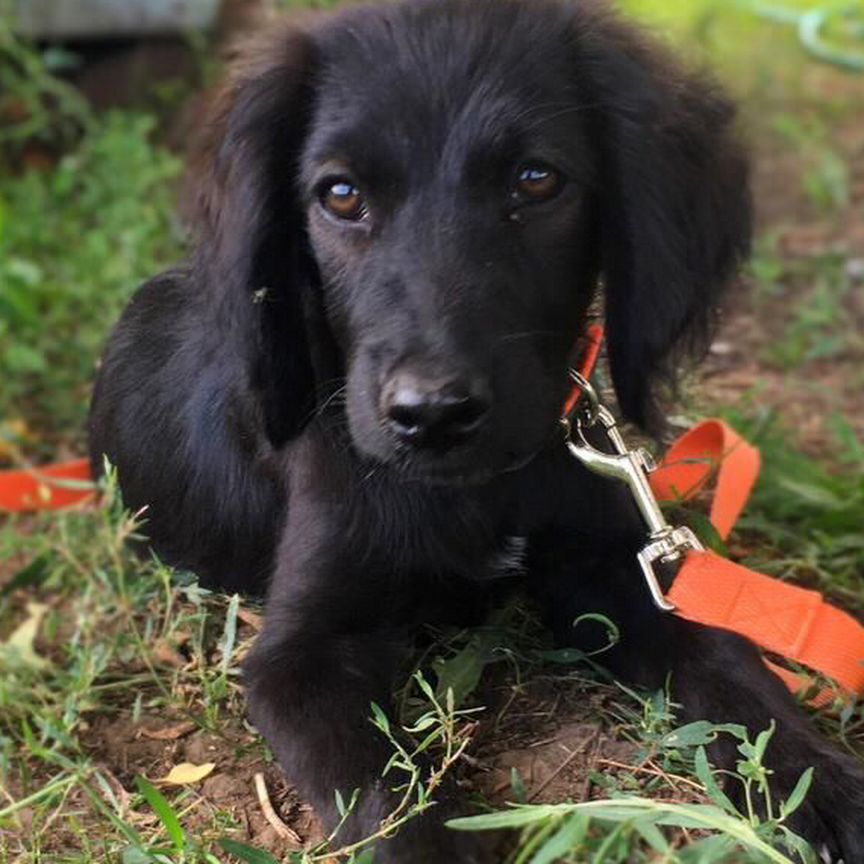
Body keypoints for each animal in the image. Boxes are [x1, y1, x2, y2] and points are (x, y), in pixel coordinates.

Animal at [88, 0, 864, 856]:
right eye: (341, 195)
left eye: (536, 179)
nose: (433, 413)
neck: (483, 489)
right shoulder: (302, 657)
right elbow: (384, 793)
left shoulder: (618, 566)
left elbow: (727, 663)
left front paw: (819, 780)